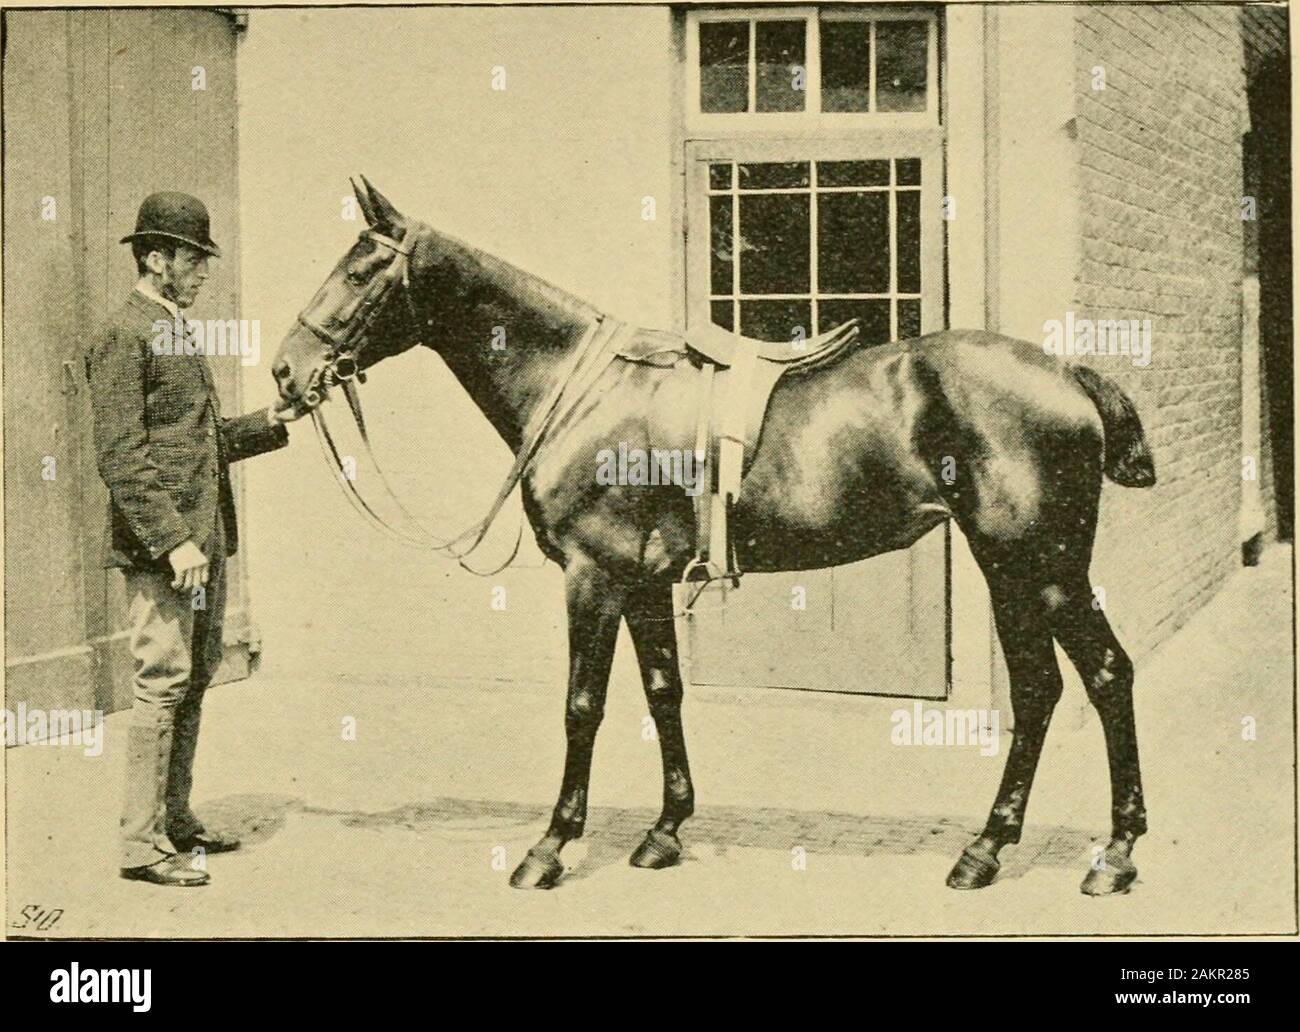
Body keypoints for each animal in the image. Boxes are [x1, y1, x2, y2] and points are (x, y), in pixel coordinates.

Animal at [272, 177, 1157, 896]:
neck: (586, 391)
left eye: (361, 270)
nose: (286, 370)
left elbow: (582, 706)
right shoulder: (645, 582)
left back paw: (1097, 854)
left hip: (1037, 567)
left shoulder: (593, 577)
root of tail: (1069, 374)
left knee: (1097, 677)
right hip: (1015, 570)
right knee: (1054, 688)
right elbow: (664, 691)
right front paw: (665, 831)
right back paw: (1003, 849)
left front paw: (550, 848)